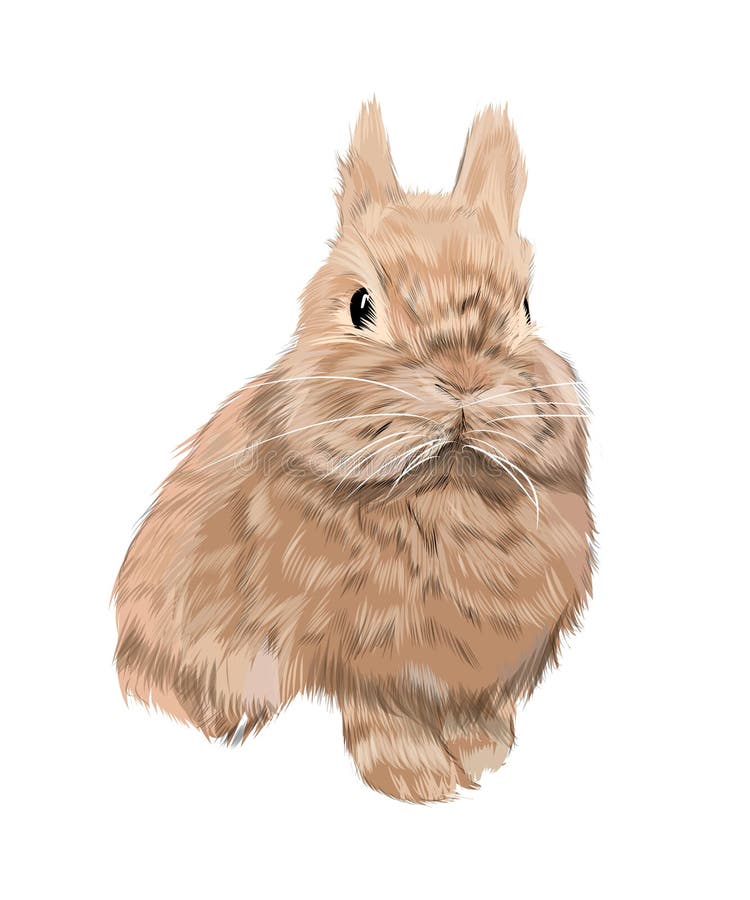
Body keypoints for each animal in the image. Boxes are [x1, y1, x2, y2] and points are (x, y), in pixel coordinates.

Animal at [114, 100, 594, 803]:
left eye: (528, 305)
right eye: (359, 303)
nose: (464, 381)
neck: (441, 488)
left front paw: (484, 759)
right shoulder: (370, 665)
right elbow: (387, 719)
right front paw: (422, 782)